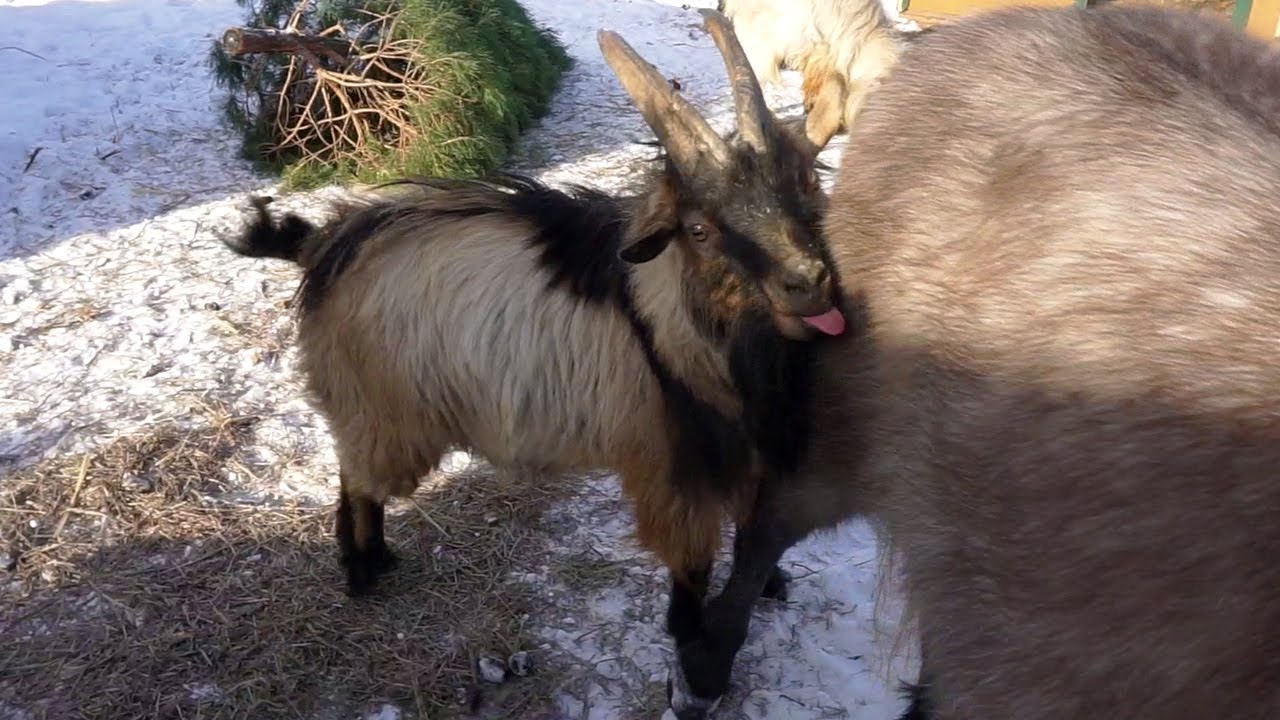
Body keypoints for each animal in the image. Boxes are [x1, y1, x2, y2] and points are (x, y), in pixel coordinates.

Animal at [222, 11, 846, 666]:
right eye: (699, 229)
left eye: (806, 184)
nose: (808, 282)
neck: (678, 322)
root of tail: (324, 245)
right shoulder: (672, 468)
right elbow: (691, 562)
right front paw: (688, 629)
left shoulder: (750, 456)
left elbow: (752, 526)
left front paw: (770, 583)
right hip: (383, 411)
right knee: (358, 477)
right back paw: (365, 568)